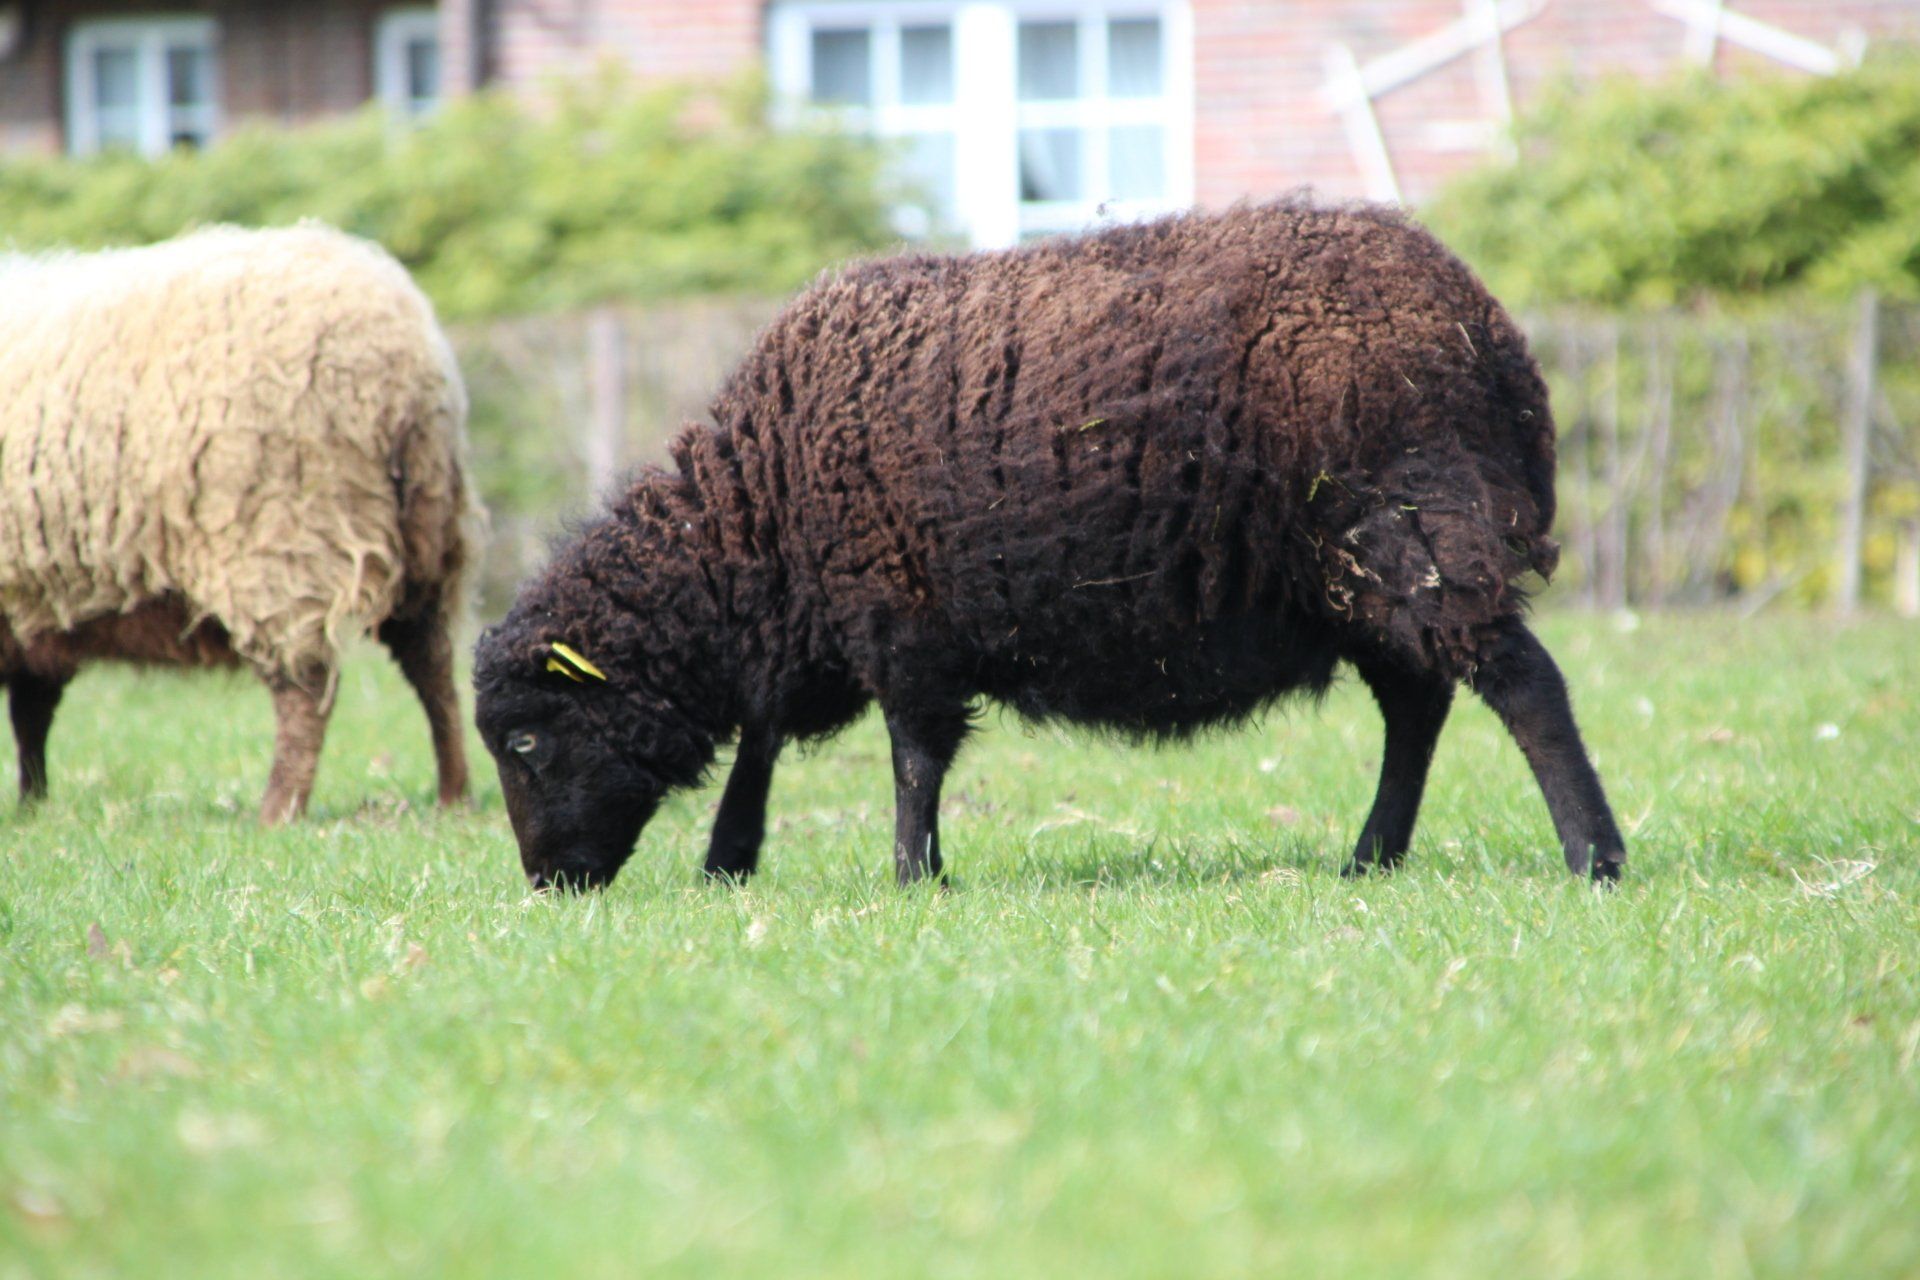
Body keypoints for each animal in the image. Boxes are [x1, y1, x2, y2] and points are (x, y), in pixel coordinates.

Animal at [1, 224, 484, 822]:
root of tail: (409, 357)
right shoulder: (34, 611)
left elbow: (28, 711)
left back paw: (279, 810)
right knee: (433, 666)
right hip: (427, 531)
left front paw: (29, 806)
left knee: (306, 688)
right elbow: (32, 711)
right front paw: (33, 804)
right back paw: (454, 796)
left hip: (282, 542)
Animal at [473, 199, 1626, 890]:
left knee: (1524, 685)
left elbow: (912, 757)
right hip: (1356, 579)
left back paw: (1594, 854)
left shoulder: (899, 618)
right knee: (1418, 706)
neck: (756, 512)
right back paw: (1371, 858)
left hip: (1415, 530)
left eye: (526, 741)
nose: (549, 884)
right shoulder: (820, 631)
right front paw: (730, 860)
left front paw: (913, 875)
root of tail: (1494, 336)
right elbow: (762, 738)